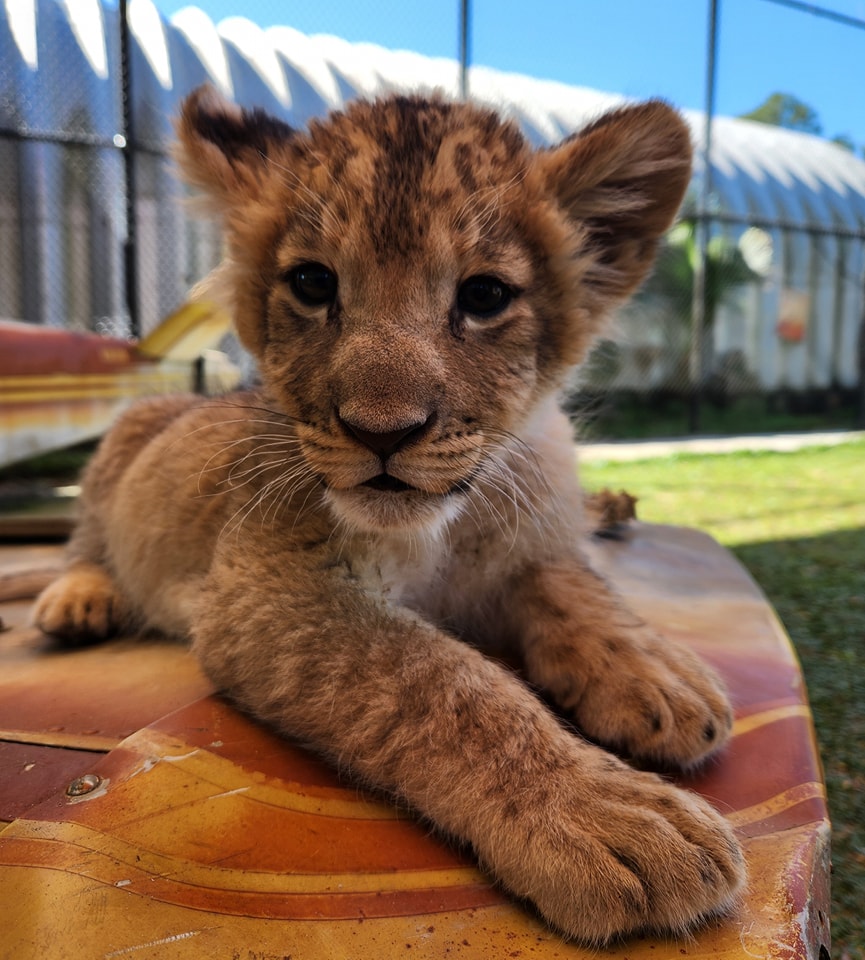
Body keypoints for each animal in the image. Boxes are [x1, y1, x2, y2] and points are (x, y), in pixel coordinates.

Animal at [33, 87, 745, 944]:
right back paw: (79, 600)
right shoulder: (267, 591)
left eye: (483, 297)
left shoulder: (524, 550)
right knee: (81, 540)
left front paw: (659, 677)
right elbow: (442, 681)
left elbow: (577, 588)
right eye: (312, 283)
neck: (450, 527)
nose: (381, 432)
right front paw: (608, 814)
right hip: (117, 451)